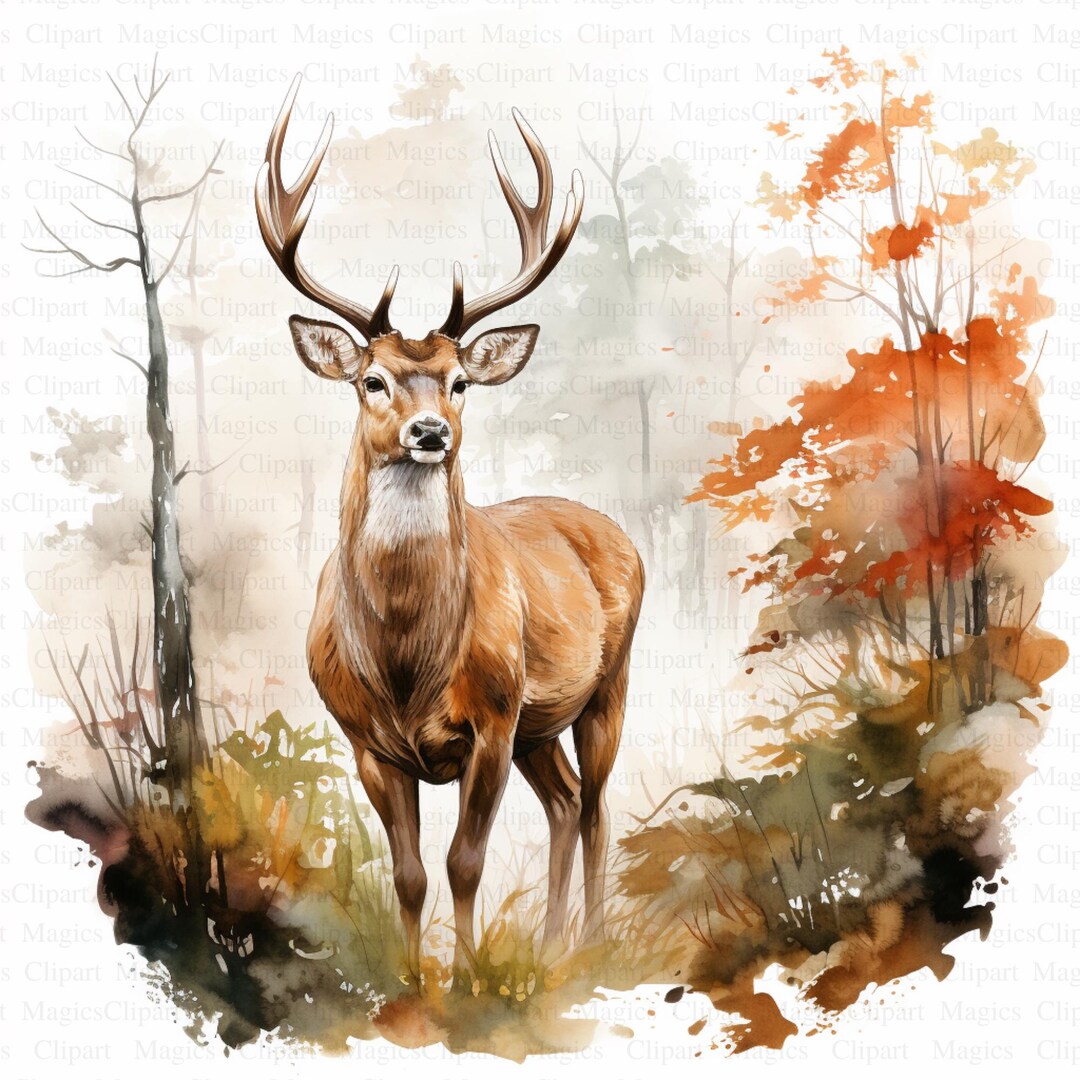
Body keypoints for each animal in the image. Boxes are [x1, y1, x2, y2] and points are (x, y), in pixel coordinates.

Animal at [255, 77, 644, 983]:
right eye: (372, 379)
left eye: (461, 380)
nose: (429, 431)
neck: (406, 660)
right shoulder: (365, 741)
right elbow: (408, 874)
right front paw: (410, 980)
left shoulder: (493, 718)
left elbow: (465, 862)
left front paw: (470, 978)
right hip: (542, 723)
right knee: (565, 803)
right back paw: (549, 943)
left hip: (605, 684)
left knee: (597, 805)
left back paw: (589, 945)